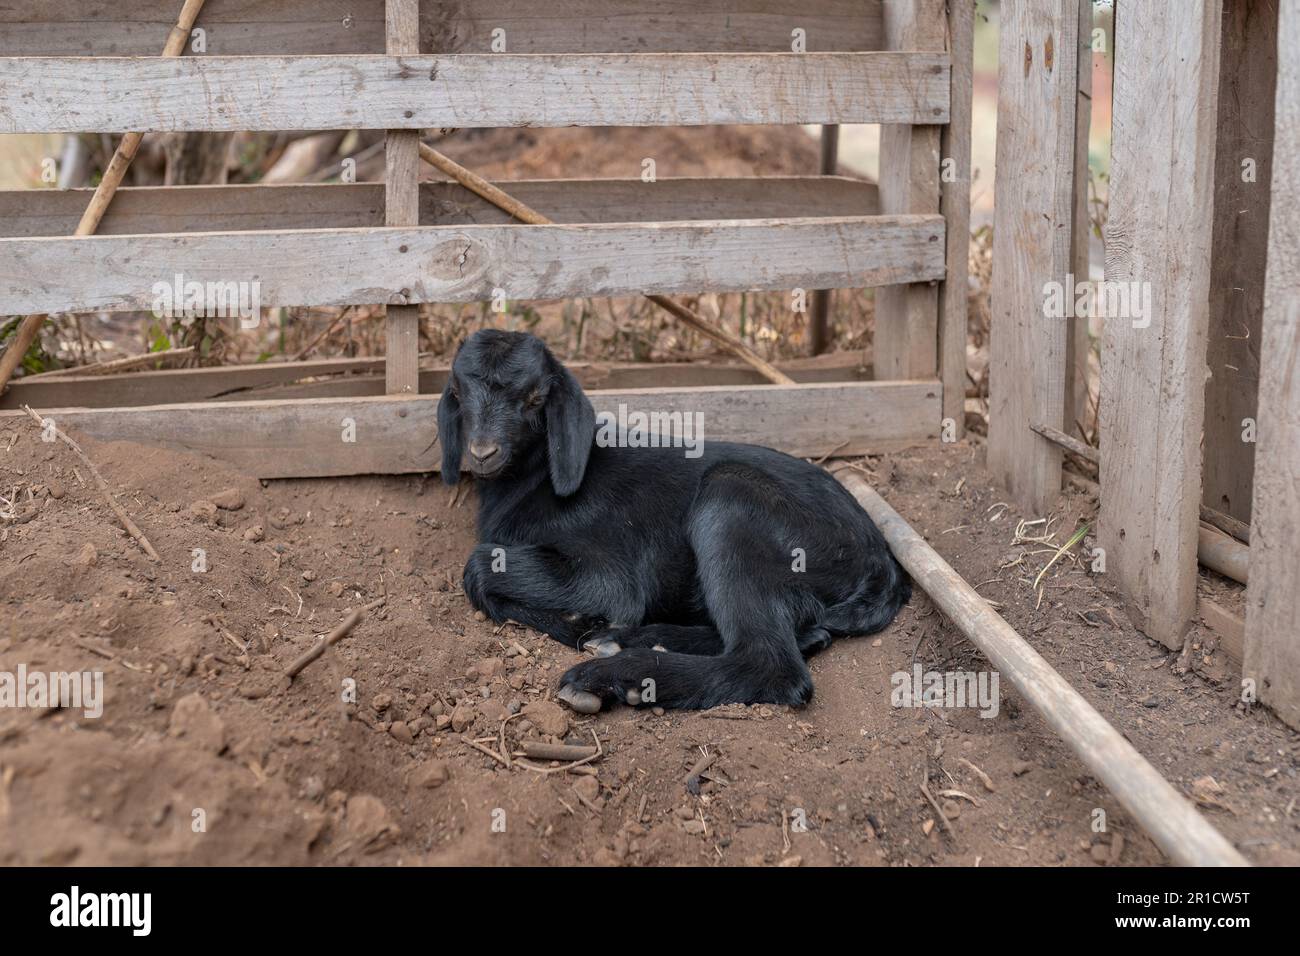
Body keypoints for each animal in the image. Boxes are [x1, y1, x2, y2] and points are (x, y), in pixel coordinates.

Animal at [438, 329, 911, 713]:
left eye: (536, 399)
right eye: (458, 393)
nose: (483, 452)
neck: (539, 478)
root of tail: (877, 557)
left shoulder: (610, 576)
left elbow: (479, 567)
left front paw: (580, 623)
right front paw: (590, 627)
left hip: (733, 500)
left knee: (771, 664)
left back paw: (614, 676)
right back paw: (630, 641)